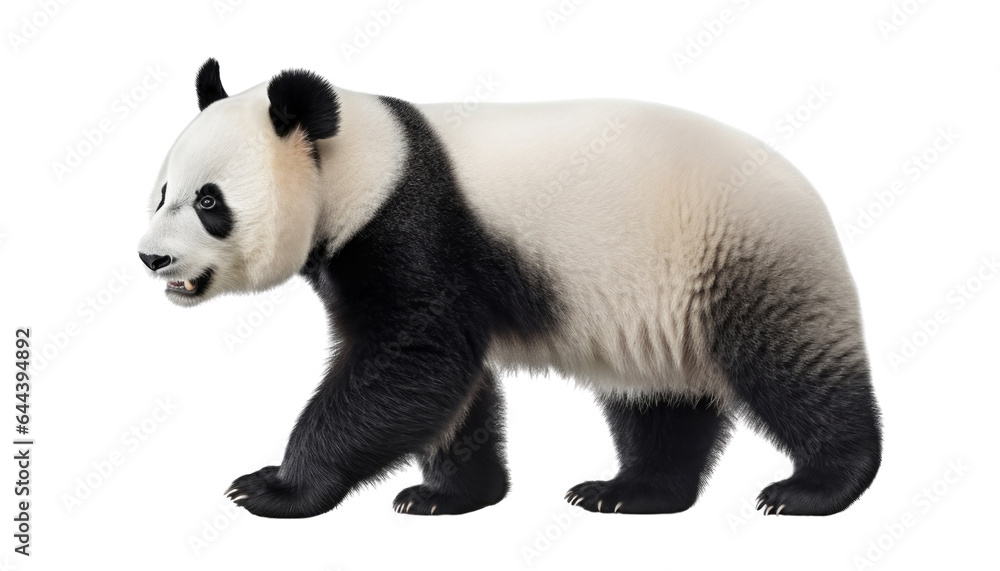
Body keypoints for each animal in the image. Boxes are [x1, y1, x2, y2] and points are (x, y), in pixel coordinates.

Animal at [137, 58, 881, 519]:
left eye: (209, 201)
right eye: (163, 192)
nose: (152, 258)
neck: (362, 162)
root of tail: (810, 193)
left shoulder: (415, 223)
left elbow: (411, 361)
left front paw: (276, 486)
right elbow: (445, 382)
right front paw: (450, 494)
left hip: (739, 253)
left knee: (793, 368)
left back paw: (815, 485)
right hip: (668, 302)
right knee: (660, 401)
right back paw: (632, 491)